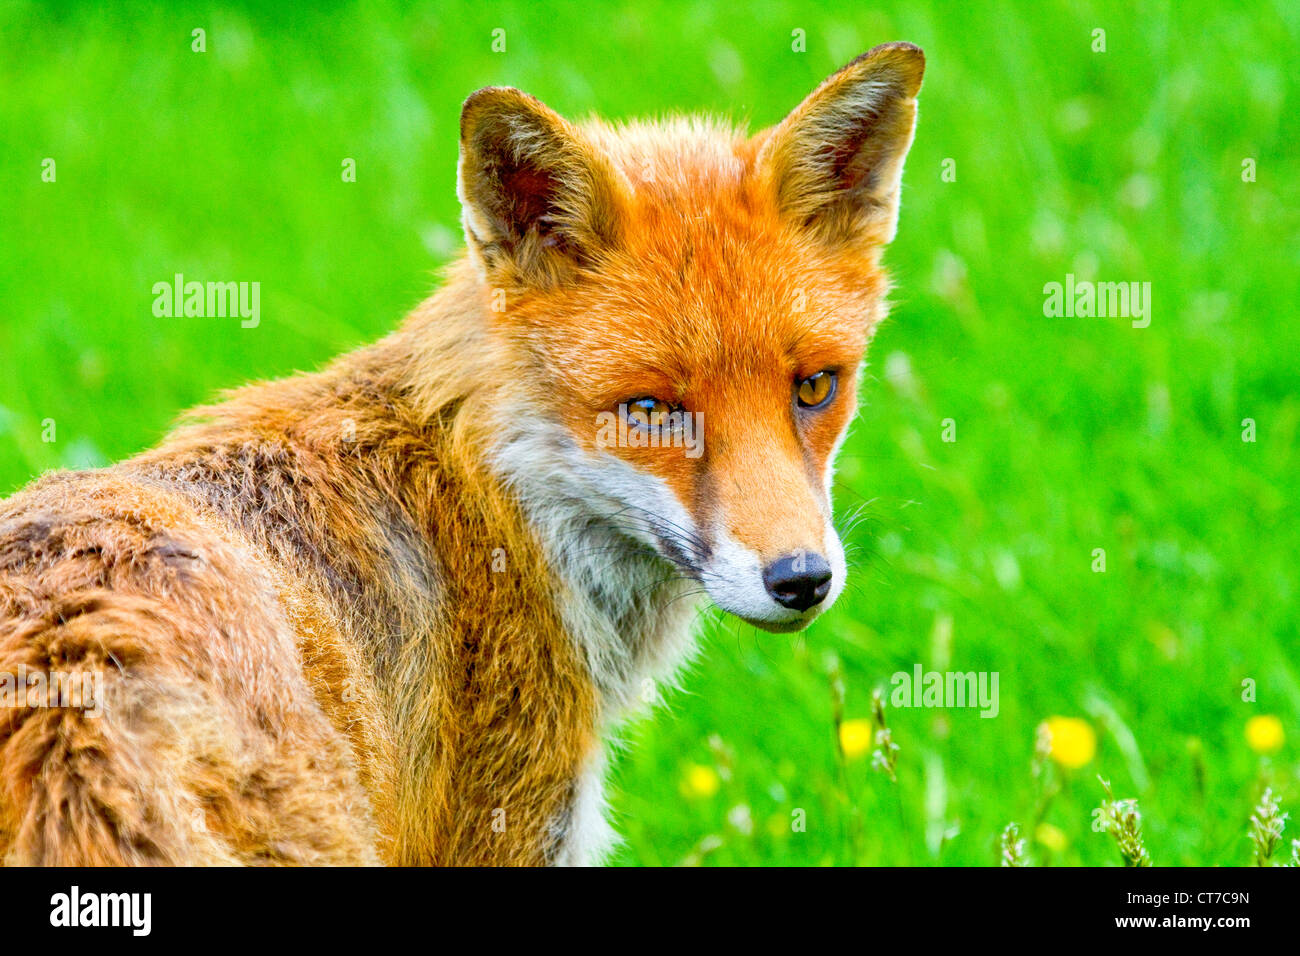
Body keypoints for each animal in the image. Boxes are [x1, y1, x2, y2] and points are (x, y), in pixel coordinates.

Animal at [0, 42, 924, 866]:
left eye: (815, 387)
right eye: (652, 411)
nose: (802, 579)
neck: (494, 503)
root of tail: (66, 687)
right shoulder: (513, 826)